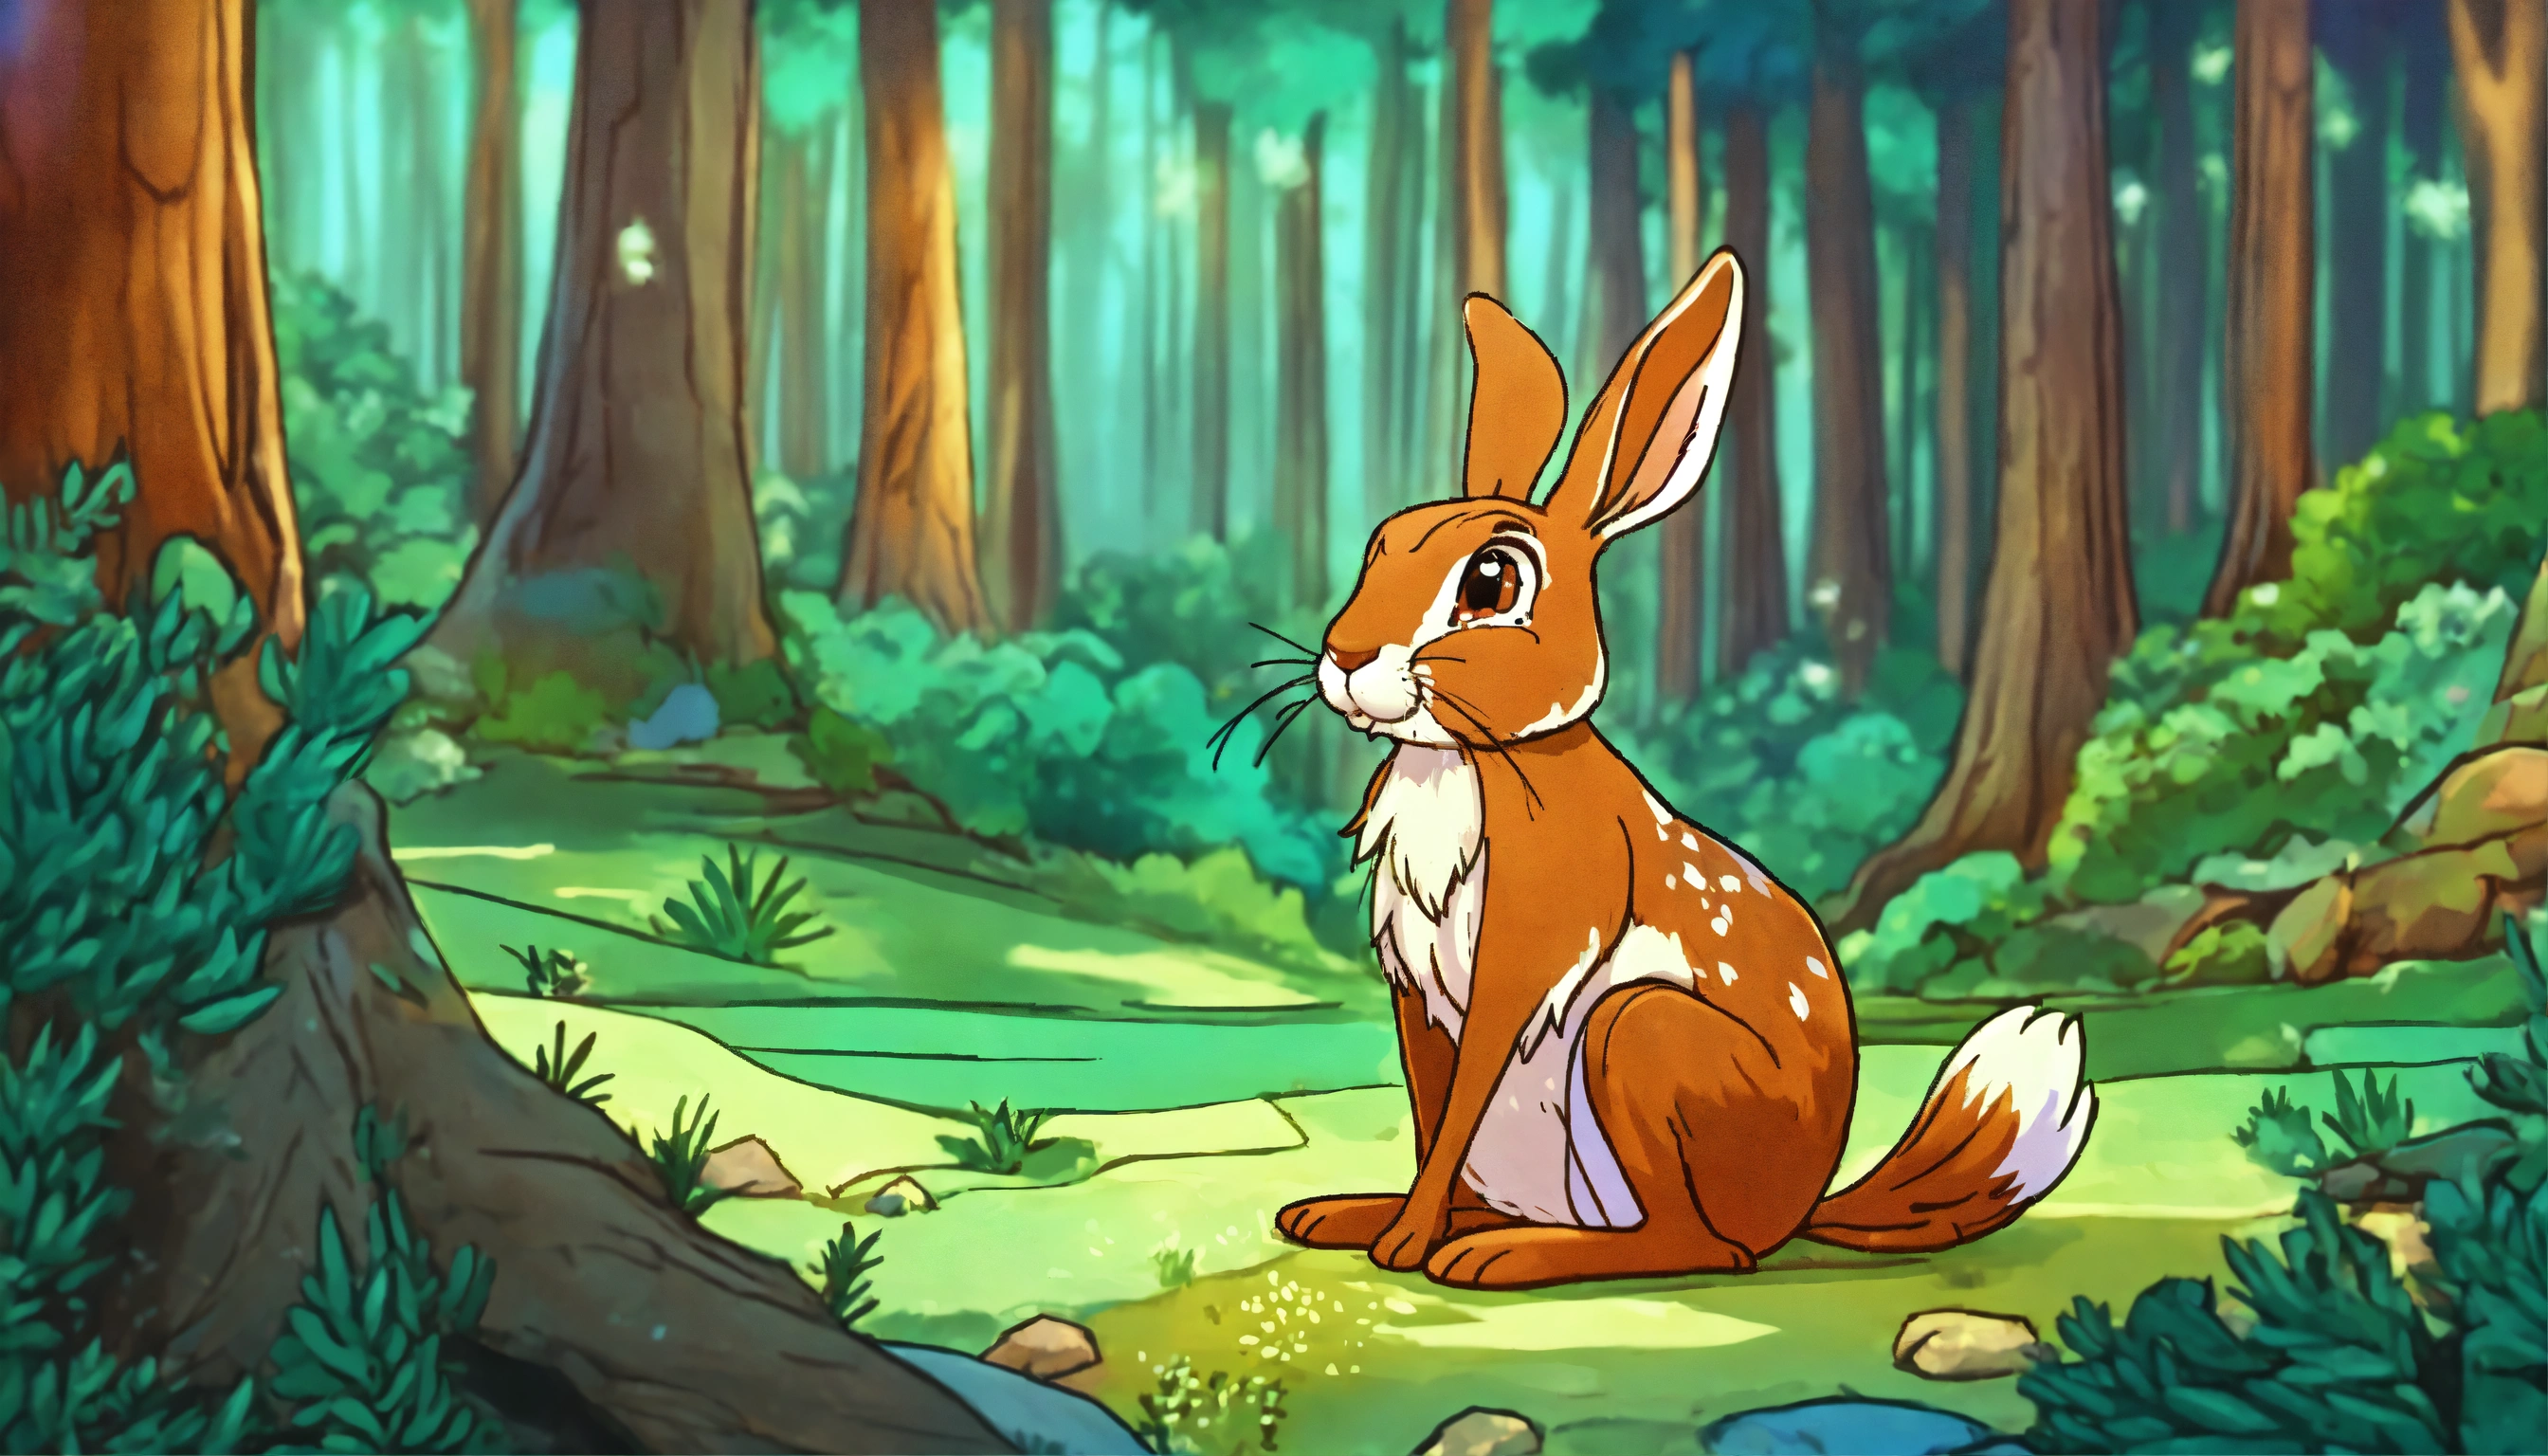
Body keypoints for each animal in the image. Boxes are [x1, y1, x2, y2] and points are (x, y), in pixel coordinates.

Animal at [1274, 248, 2097, 1289]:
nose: (1344, 657)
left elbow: (1460, 1102)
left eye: (1492, 582)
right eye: (1381, 542)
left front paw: (1408, 1246)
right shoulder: (1417, 994)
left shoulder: (1524, 954)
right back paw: (1376, 1218)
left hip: (1640, 1037)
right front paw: (1387, 1225)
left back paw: (1504, 1255)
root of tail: (1801, 1208)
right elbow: (1432, 1116)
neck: (1478, 760)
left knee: (1698, 1244)